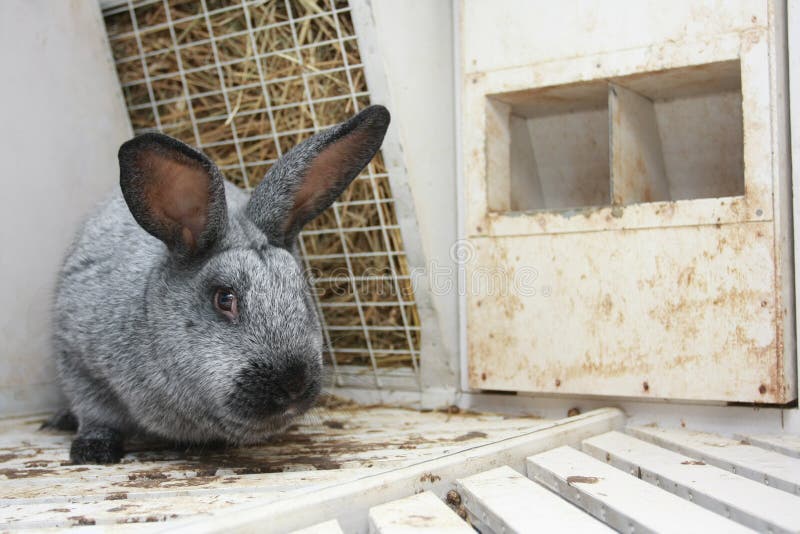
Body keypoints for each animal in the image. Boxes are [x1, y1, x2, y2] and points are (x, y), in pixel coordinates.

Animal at [49, 105, 390, 464]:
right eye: (224, 299)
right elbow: (96, 413)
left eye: (302, 293)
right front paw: (92, 452)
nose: (294, 384)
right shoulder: (78, 360)